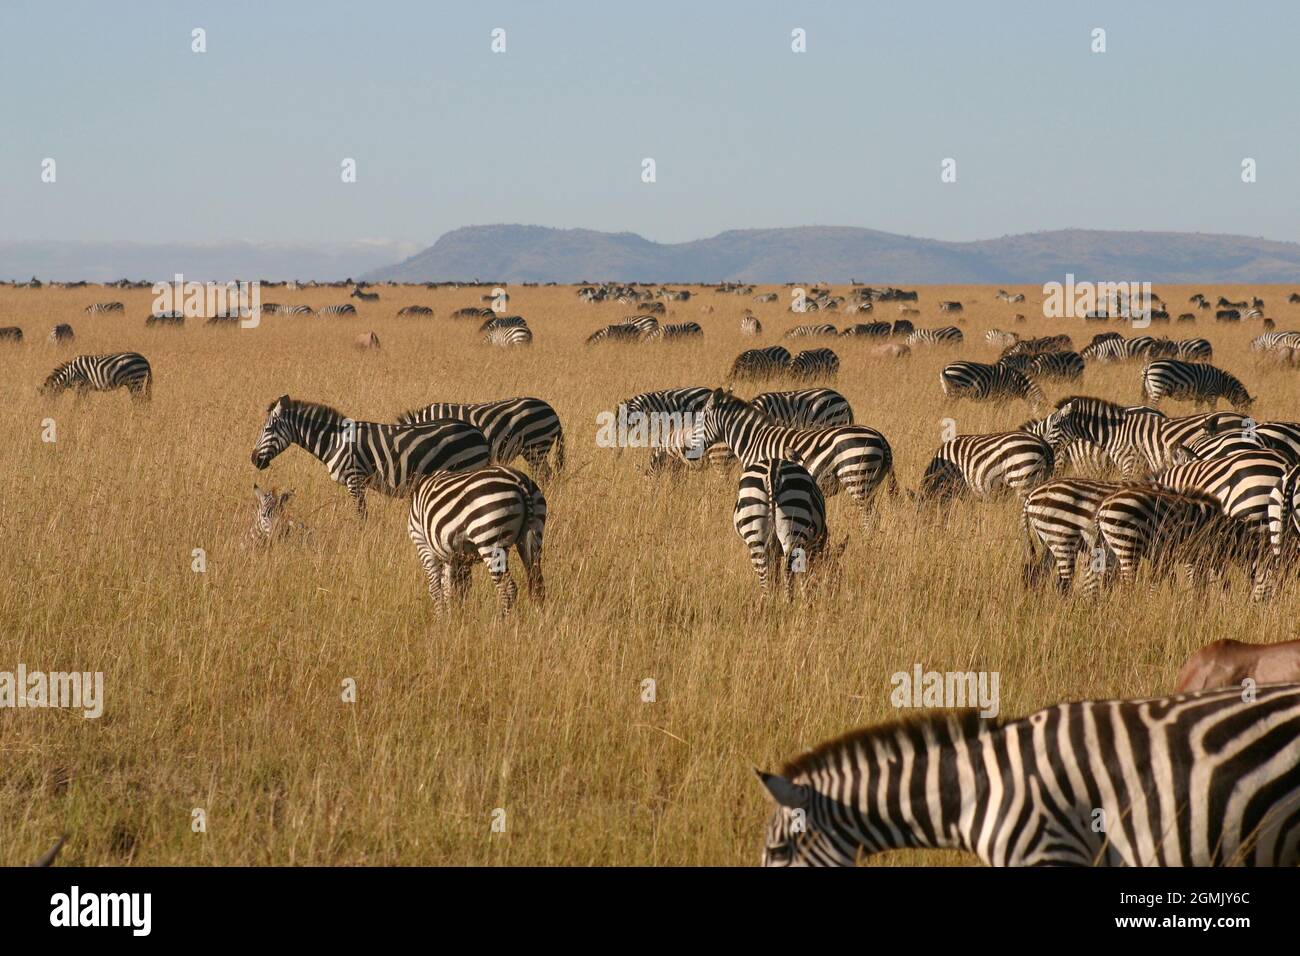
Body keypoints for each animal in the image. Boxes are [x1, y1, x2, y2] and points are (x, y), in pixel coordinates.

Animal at [251, 396, 491, 515]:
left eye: (268, 430)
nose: (253, 459)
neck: (334, 441)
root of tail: (477, 432)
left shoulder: (355, 479)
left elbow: (361, 515)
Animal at [408, 465, 545, 616]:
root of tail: (518, 480)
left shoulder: (423, 545)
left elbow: (436, 590)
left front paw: (442, 618)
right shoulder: (455, 556)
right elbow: (454, 589)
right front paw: (454, 617)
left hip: (490, 542)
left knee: (509, 588)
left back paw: (502, 620)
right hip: (533, 537)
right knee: (538, 585)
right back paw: (539, 617)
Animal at [691, 389, 896, 513]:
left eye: (698, 421)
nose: (690, 451)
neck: (753, 440)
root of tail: (880, 437)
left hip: (856, 478)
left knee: (870, 517)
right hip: (869, 482)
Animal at [733, 459, 828, 598]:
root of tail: (772, 471)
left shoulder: (775, 553)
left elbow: (775, 577)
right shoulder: (813, 547)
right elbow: (806, 576)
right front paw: (807, 598)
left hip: (755, 532)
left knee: (765, 576)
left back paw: (771, 602)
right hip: (794, 520)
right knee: (788, 571)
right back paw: (788, 602)